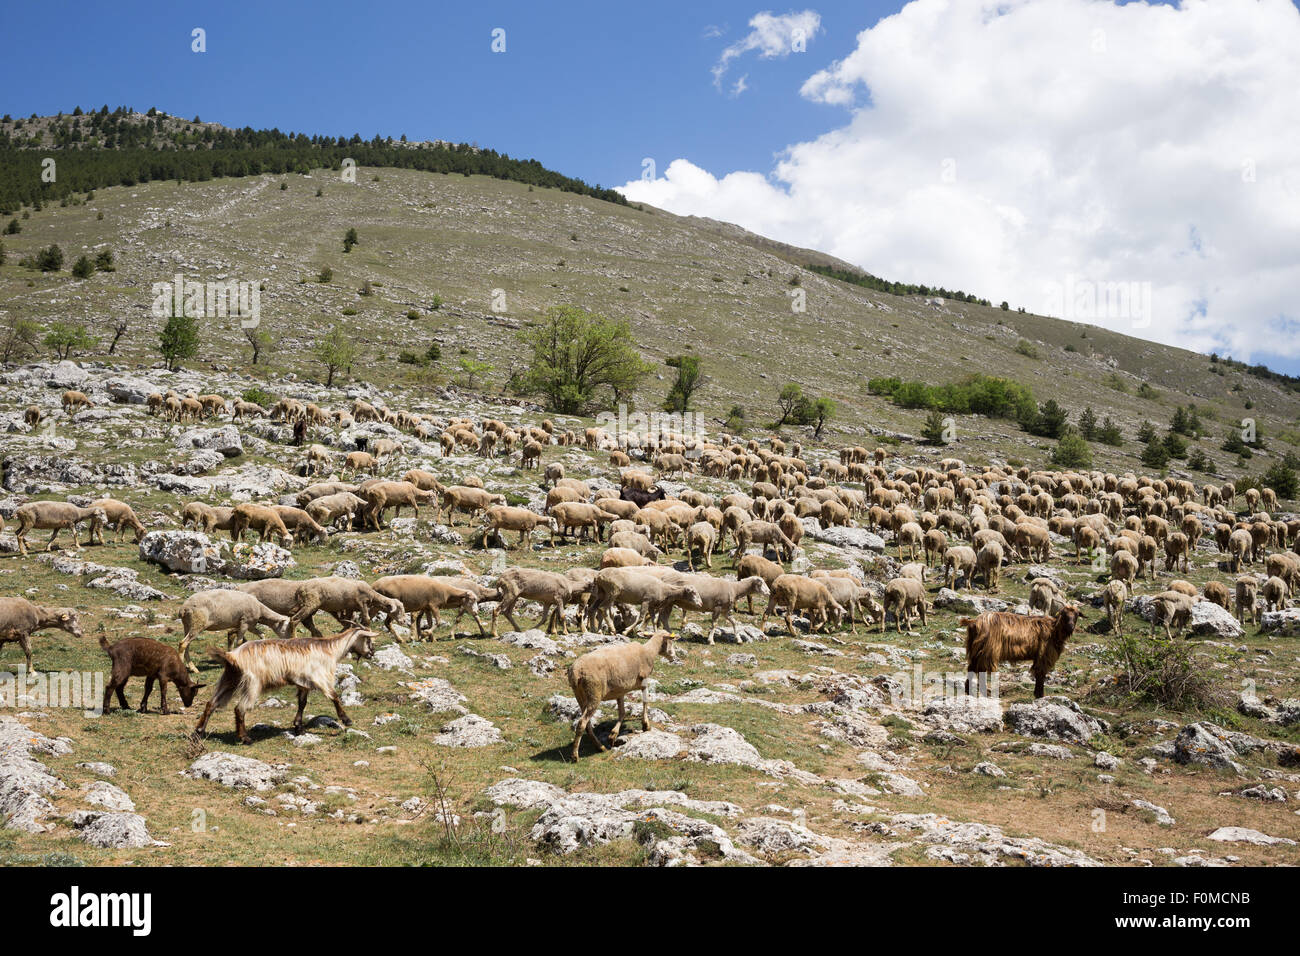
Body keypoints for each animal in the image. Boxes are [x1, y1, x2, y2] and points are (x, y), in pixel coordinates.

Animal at [194, 627, 376, 744]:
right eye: (367, 638)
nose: (371, 653)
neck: (330, 650)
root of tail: (232, 655)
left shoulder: (303, 683)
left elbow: (302, 703)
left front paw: (299, 727)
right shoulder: (320, 678)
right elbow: (334, 697)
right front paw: (347, 720)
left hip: (230, 679)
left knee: (211, 703)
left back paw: (199, 731)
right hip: (252, 683)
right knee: (239, 709)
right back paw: (245, 738)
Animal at [567, 630, 676, 759]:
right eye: (670, 641)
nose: (674, 657)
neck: (649, 651)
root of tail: (576, 671)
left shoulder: (620, 691)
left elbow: (622, 712)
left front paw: (613, 735)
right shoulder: (644, 680)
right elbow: (645, 701)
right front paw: (646, 725)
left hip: (579, 695)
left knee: (587, 724)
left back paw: (600, 747)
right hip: (594, 693)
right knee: (582, 723)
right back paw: (575, 755)